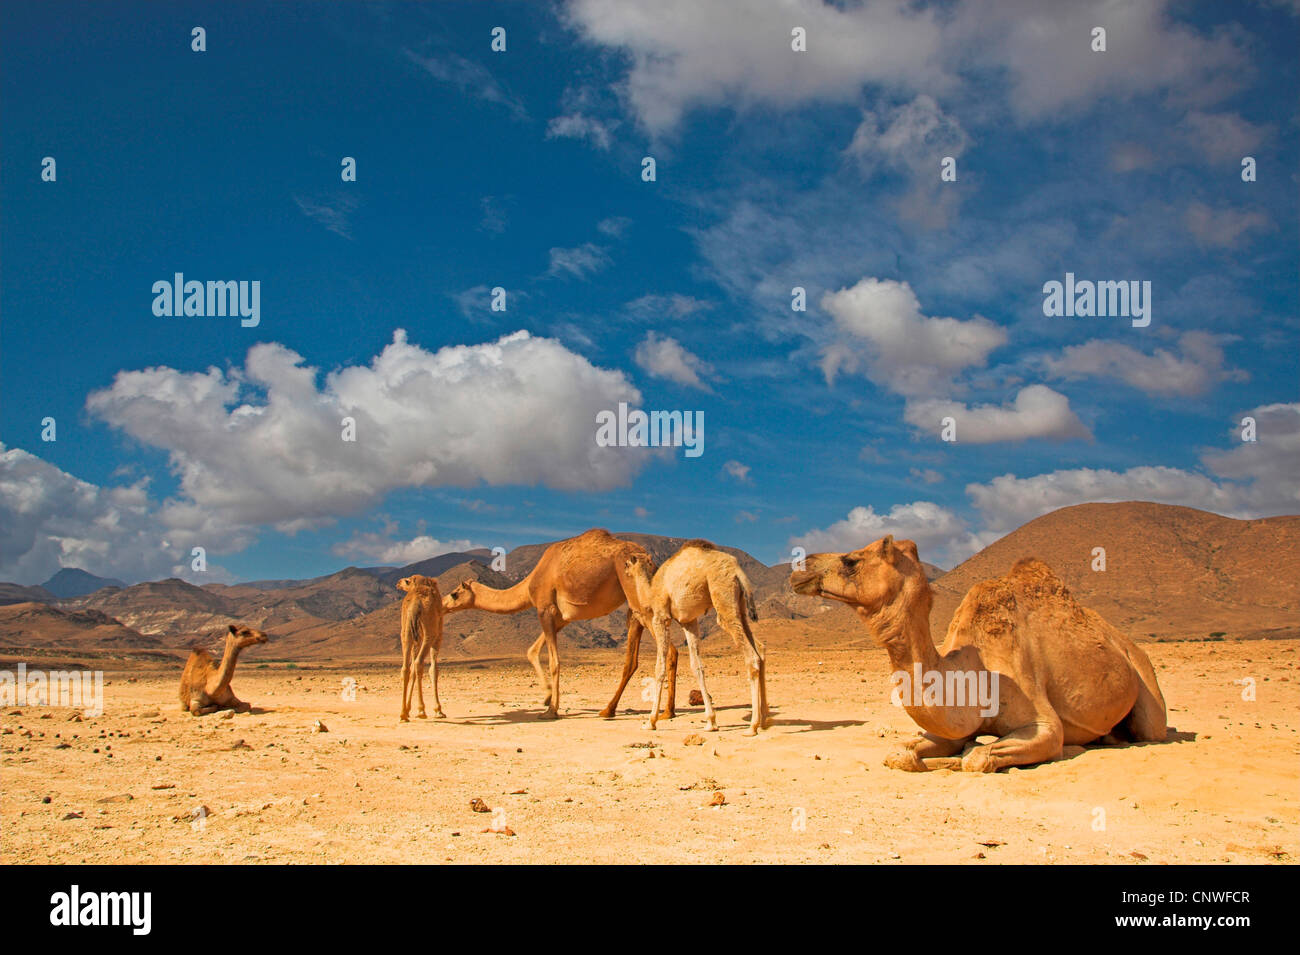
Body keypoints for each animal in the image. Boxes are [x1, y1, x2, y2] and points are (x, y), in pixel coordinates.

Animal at [397, 574, 445, 722]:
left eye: (405, 581)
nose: (398, 583)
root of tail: (415, 605)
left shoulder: (415, 636)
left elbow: (412, 670)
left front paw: (408, 709)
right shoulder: (438, 635)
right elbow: (433, 670)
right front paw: (438, 710)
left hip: (406, 632)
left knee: (406, 668)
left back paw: (403, 714)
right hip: (430, 633)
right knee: (419, 663)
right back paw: (422, 710)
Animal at [441, 528, 679, 720]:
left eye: (454, 594)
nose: (442, 604)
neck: (529, 584)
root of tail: (650, 560)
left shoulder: (545, 609)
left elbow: (554, 662)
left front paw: (551, 710)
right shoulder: (562, 618)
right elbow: (531, 650)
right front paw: (547, 697)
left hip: (635, 593)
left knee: (666, 648)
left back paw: (657, 712)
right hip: (633, 607)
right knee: (641, 657)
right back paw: (637, 710)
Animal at [620, 540, 770, 735]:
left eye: (626, 564)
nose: (625, 571)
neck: (651, 590)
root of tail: (738, 570)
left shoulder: (661, 617)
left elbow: (659, 668)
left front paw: (650, 721)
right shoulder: (689, 621)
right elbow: (696, 665)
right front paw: (711, 722)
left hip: (723, 596)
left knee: (751, 657)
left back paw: (752, 726)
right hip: (740, 606)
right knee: (759, 649)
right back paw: (764, 720)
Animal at [789, 536, 1167, 772]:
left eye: (850, 560)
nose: (798, 568)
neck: (972, 673)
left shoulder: (1042, 721)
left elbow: (978, 758)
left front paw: (966, 756)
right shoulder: (950, 726)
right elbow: (901, 754)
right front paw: (935, 759)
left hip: (1145, 680)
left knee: (1151, 729)